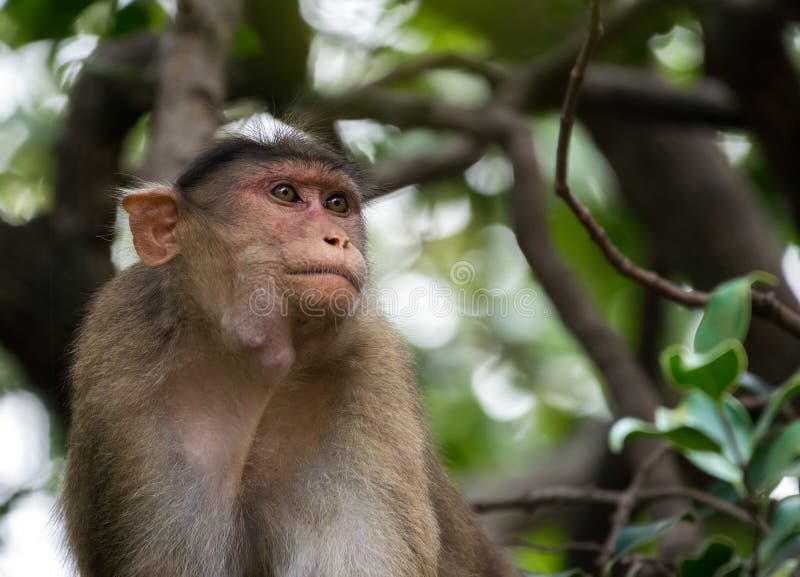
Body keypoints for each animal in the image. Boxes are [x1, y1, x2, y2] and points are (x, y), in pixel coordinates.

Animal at [61, 125, 519, 577]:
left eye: (337, 203)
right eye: (285, 194)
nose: (338, 239)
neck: (255, 370)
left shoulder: (371, 364)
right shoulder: (121, 358)